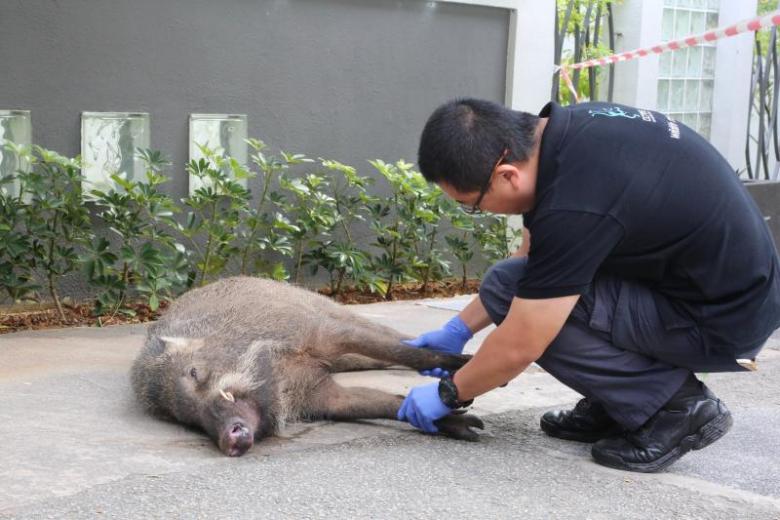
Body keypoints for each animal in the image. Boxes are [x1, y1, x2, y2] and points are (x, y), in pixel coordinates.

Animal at [131, 276, 484, 456]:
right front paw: (468, 426)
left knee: (398, 339)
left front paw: (463, 375)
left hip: (336, 312)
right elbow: (381, 403)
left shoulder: (327, 333)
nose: (229, 440)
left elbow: (405, 352)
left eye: (193, 372)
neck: (282, 373)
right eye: (184, 419)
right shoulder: (321, 395)